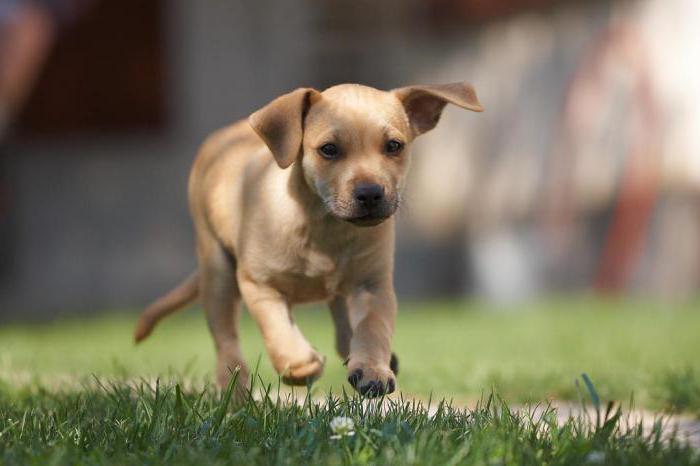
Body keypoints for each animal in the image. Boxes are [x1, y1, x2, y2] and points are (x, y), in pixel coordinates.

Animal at [134, 82, 482, 396]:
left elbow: (373, 327)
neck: (324, 225)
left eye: (394, 146)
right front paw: (300, 365)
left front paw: (372, 369)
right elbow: (277, 330)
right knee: (227, 344)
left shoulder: (373, 285)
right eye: (328, 149)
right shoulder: (258, 283)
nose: (371, 194)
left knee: (344, 329)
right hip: (217, 272)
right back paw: (235, 395)